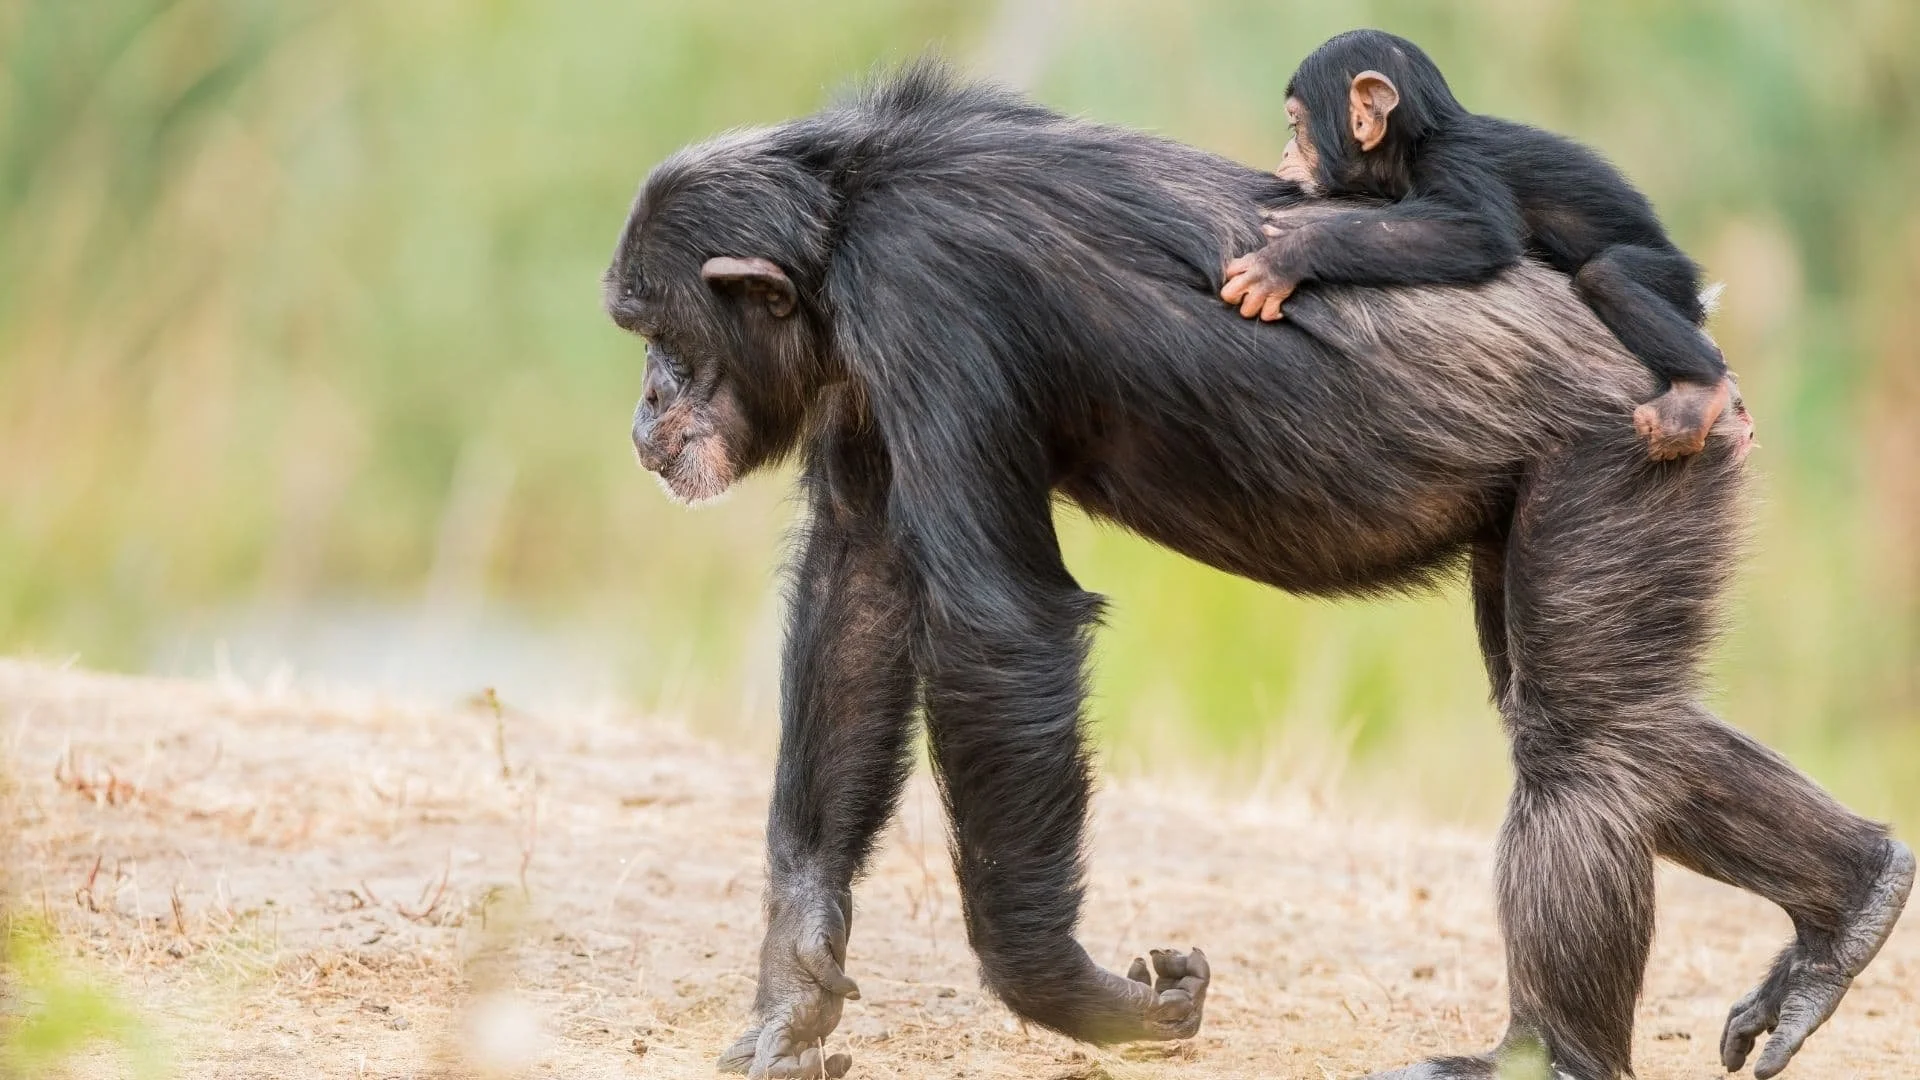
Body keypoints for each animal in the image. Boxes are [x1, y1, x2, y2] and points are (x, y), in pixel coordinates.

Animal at [1219, 29, 1739, 463]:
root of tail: (1699, 297)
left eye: (1295, 127)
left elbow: (1481, 231)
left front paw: (1286, 257)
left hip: (1671, 276)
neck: (1416, 143)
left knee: (1608, 275)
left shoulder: (1455, 161)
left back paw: (1697, 391)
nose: (1286, 151)